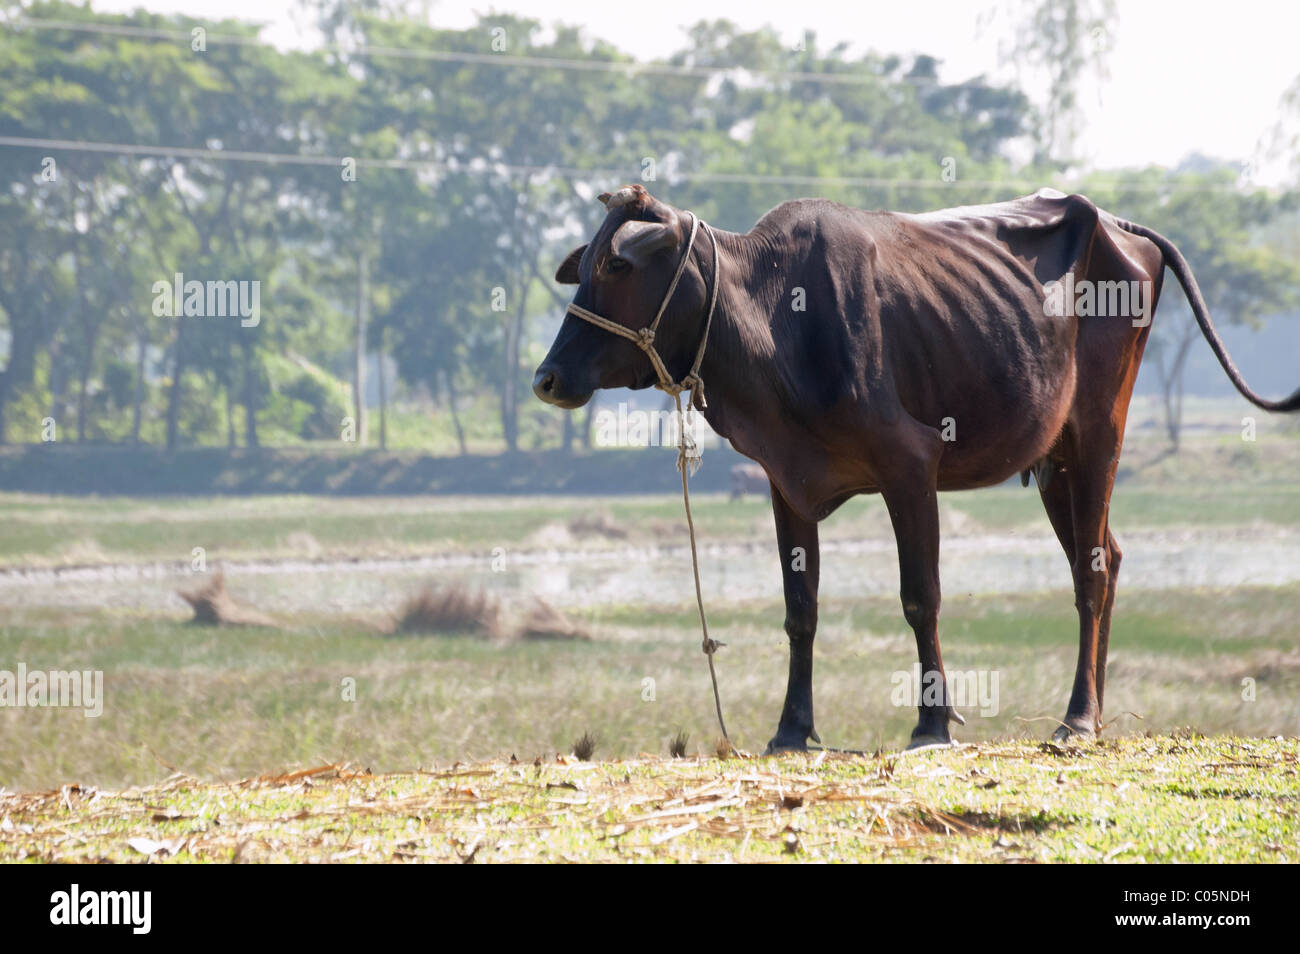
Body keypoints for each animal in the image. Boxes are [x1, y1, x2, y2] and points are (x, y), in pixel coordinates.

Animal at [532, 183, 1300, 752]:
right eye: (589, 264)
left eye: (618, 266)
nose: (546, 378)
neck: (775, 319)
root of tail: (1117, 221)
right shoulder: (786, 484)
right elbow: (800, 609)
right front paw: (791, 729)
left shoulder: (910, 467)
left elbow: (919, 597)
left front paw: (933, 722)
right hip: (1054, 460)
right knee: (1106, 556)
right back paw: (1098, 712)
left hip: (1097, 435)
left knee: (1091, 571)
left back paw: (1077, 718)